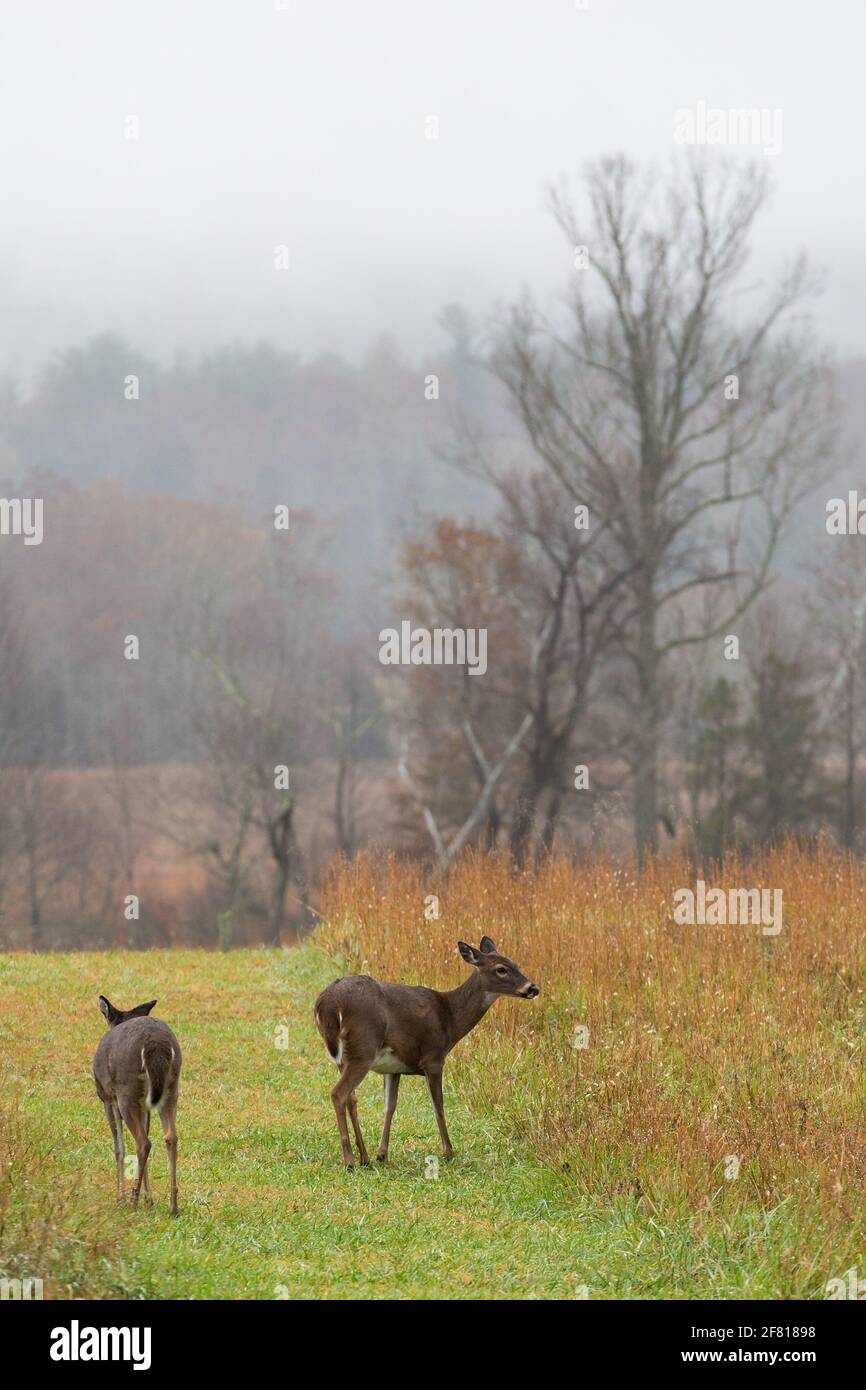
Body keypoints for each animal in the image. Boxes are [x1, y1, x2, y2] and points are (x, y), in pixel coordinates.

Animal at [93, 996, 181, 1216]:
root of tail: (156, 1044)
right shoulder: (145, 1105)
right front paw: (149, 1198)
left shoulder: (107, 1097)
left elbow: (119, 1147)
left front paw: (121, 1197)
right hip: (170, 1089)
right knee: (170, 1137)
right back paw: (173, 1206)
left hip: (126, 1090)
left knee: (143, 1142)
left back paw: (132, 1201)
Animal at [314, 936, 539, 1168]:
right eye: (501, 969)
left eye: (516, 964)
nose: (533, 988)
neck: (450, 1019)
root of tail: (327, 1004)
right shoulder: (434, 1057)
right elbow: (438, 1105)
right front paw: (449, 1152)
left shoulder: (393, 1068)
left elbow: (390, 1106)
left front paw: (382, 1154)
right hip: (363, 1049)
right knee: (338, 1093)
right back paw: (349, 1160)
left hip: (343, 1058)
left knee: (351, 1097)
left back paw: (364, 1157)